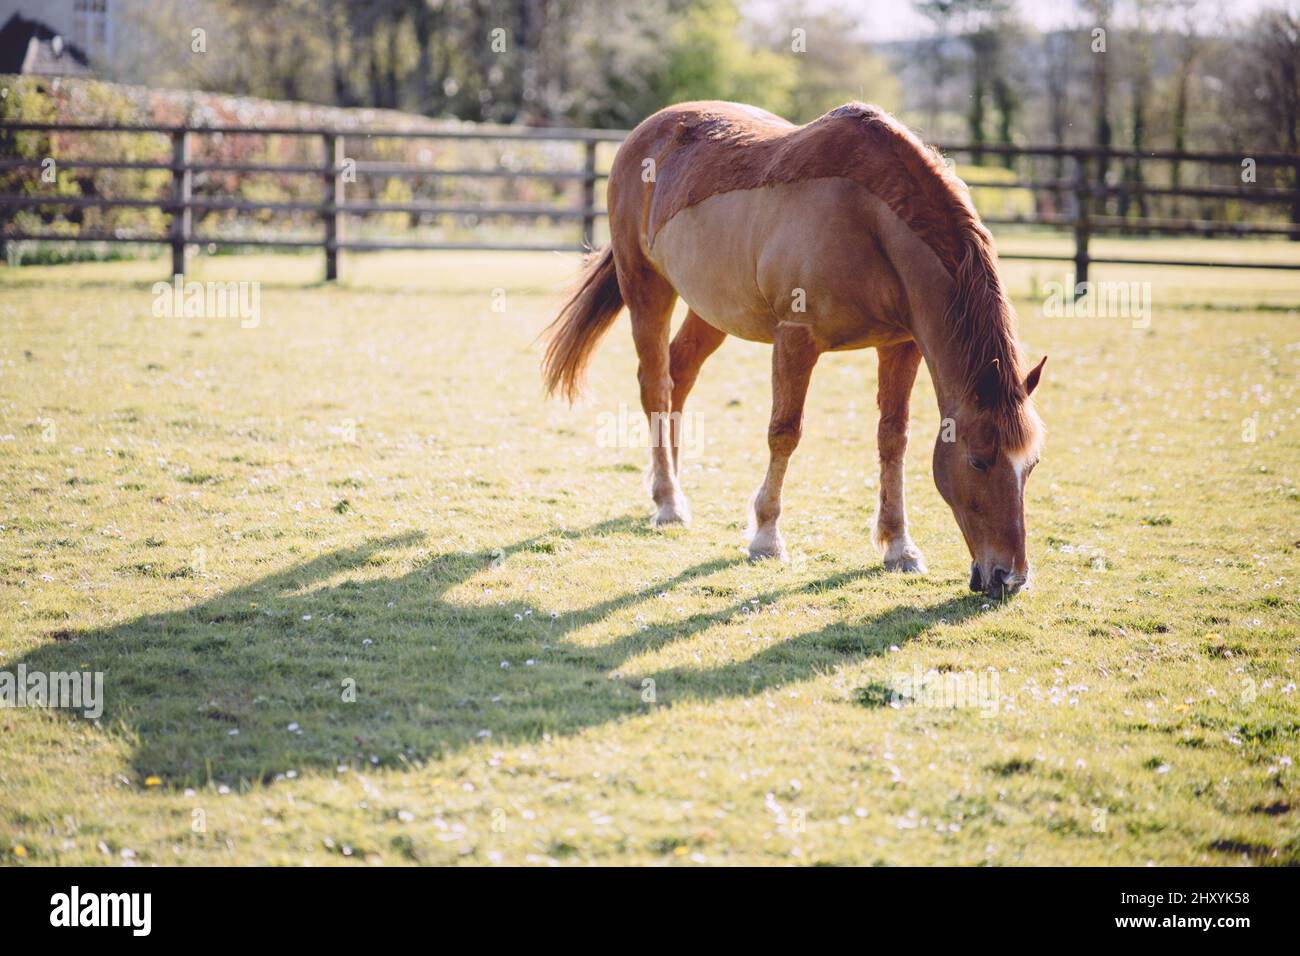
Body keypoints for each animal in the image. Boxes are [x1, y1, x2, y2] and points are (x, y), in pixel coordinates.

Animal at [541, 101, 1046, 597]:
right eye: (979, 460)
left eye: (1032, 464)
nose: (1010, 578)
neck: (867, 219)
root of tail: (646, 133)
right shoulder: (795, 338)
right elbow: (784, 432)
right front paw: (766, 538)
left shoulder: (900, 345)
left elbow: (893, 438)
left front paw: (899, 546)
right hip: (645, 287)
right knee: (656, 387)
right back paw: (668, 501)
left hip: (711, 311)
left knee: (678, 377)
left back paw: (669, 483)